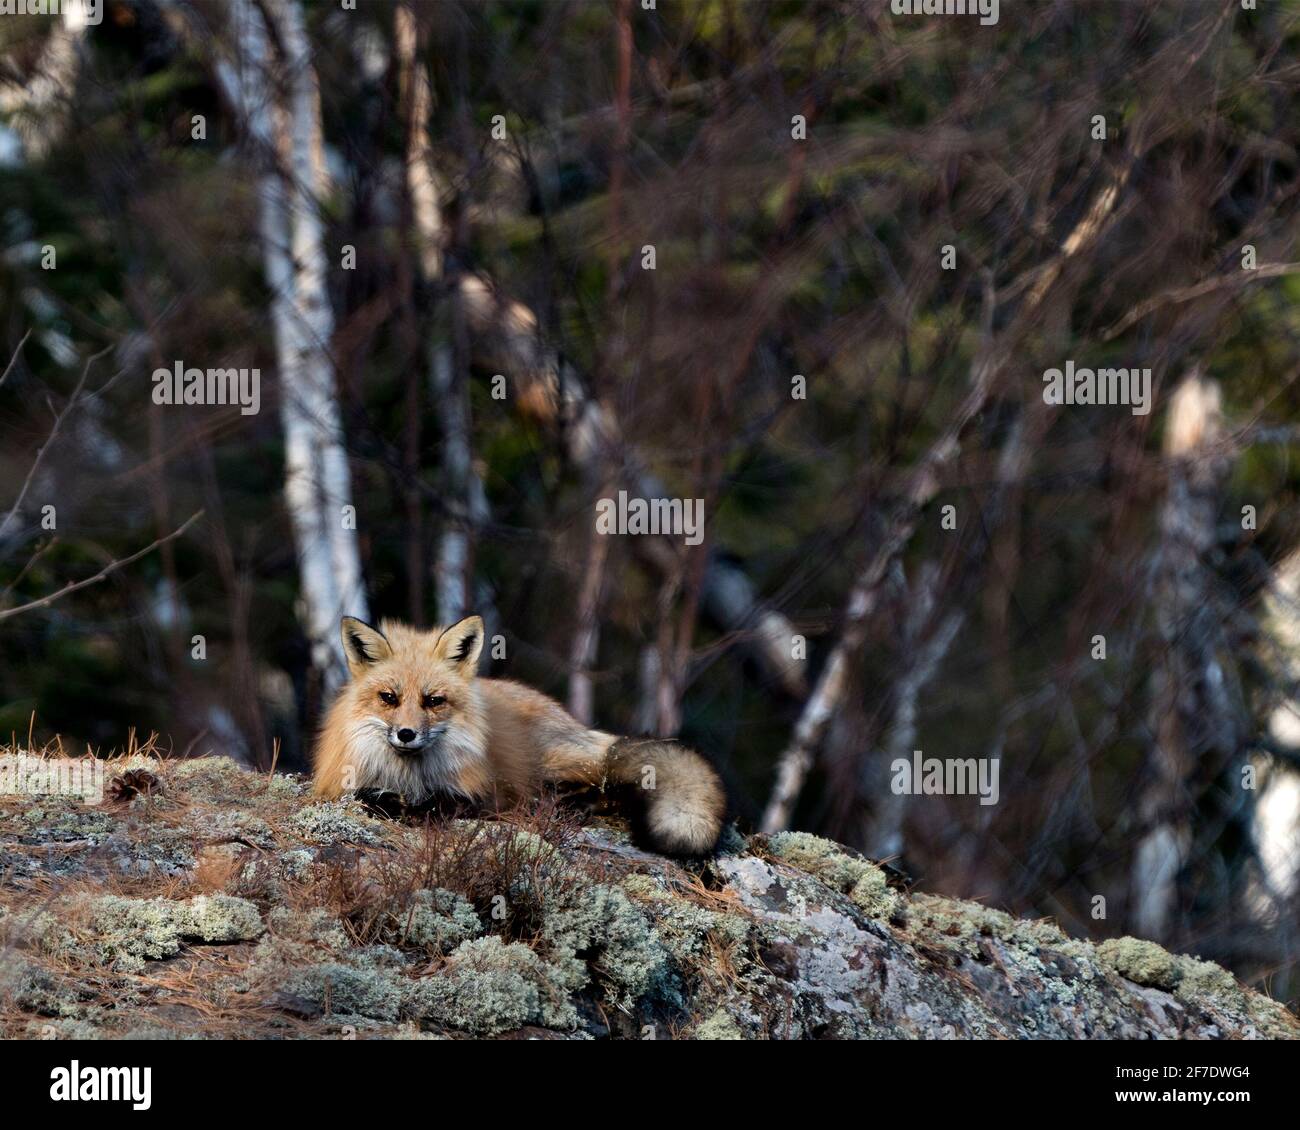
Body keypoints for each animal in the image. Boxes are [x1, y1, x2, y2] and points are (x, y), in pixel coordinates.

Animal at [312, 614, 727, 856]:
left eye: (433, 701)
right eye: (389, 698)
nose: (406, 733)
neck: (408, 775)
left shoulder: (485, 794)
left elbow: (441, 804)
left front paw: (409, 805)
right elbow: (367, 795)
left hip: (555, 760)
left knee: (605, 787)